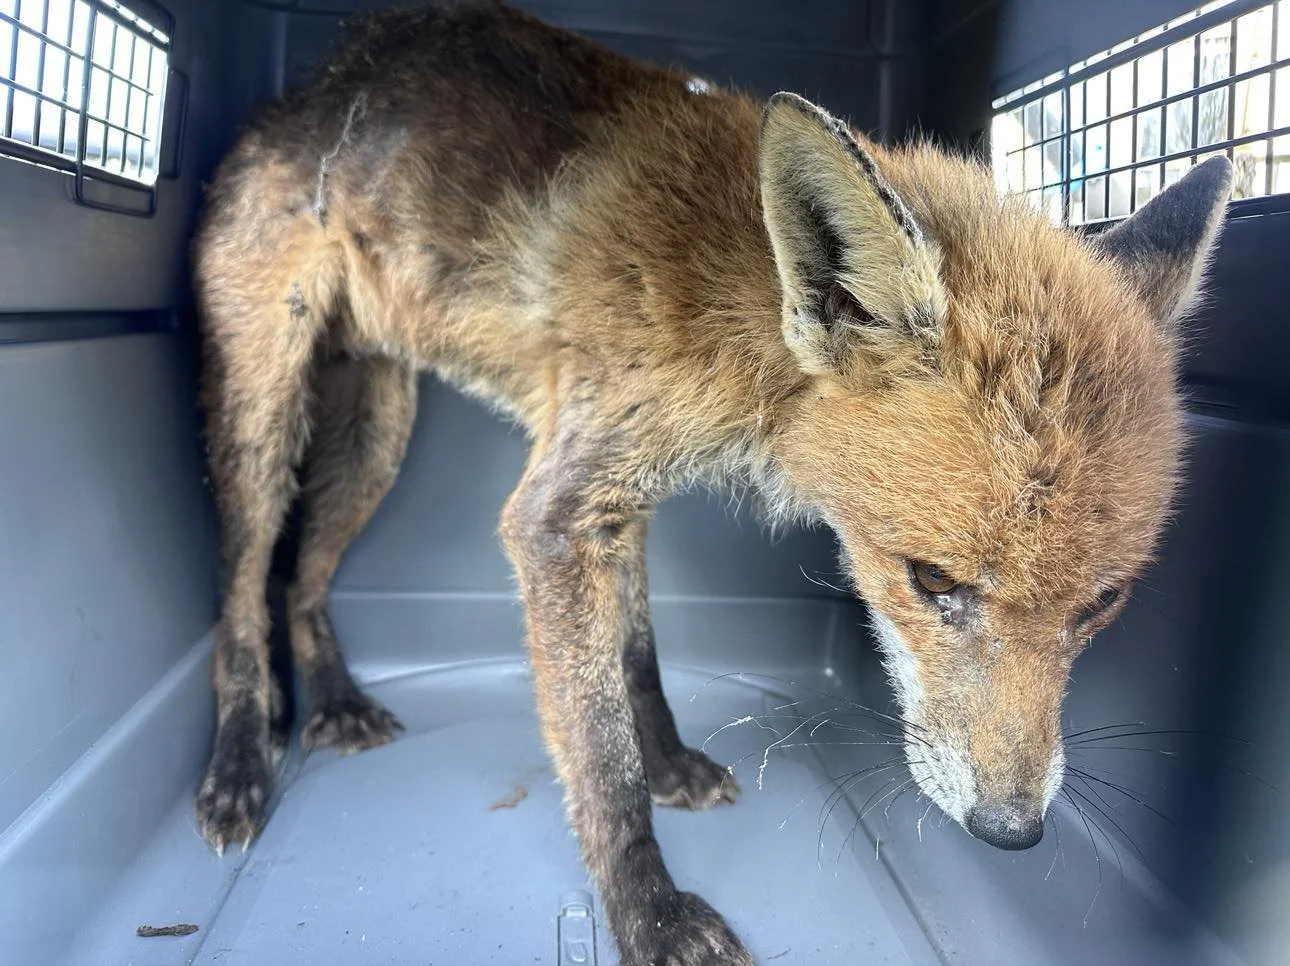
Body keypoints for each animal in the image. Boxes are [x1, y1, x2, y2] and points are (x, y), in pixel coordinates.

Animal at [190, 1, 1232, 963]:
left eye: (1102, 605)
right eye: (931, 581)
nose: (1010, 832)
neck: (739, 302)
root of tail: (301, 96)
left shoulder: (622, 498)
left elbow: (637, 658)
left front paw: (671, 764)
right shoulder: (558, 514)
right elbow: (598, 751)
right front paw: (649, 913)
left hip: (377, 437)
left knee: (303, 584)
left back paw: (333, 703)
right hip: (268, 421)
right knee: (243, 589)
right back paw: (240, 765)